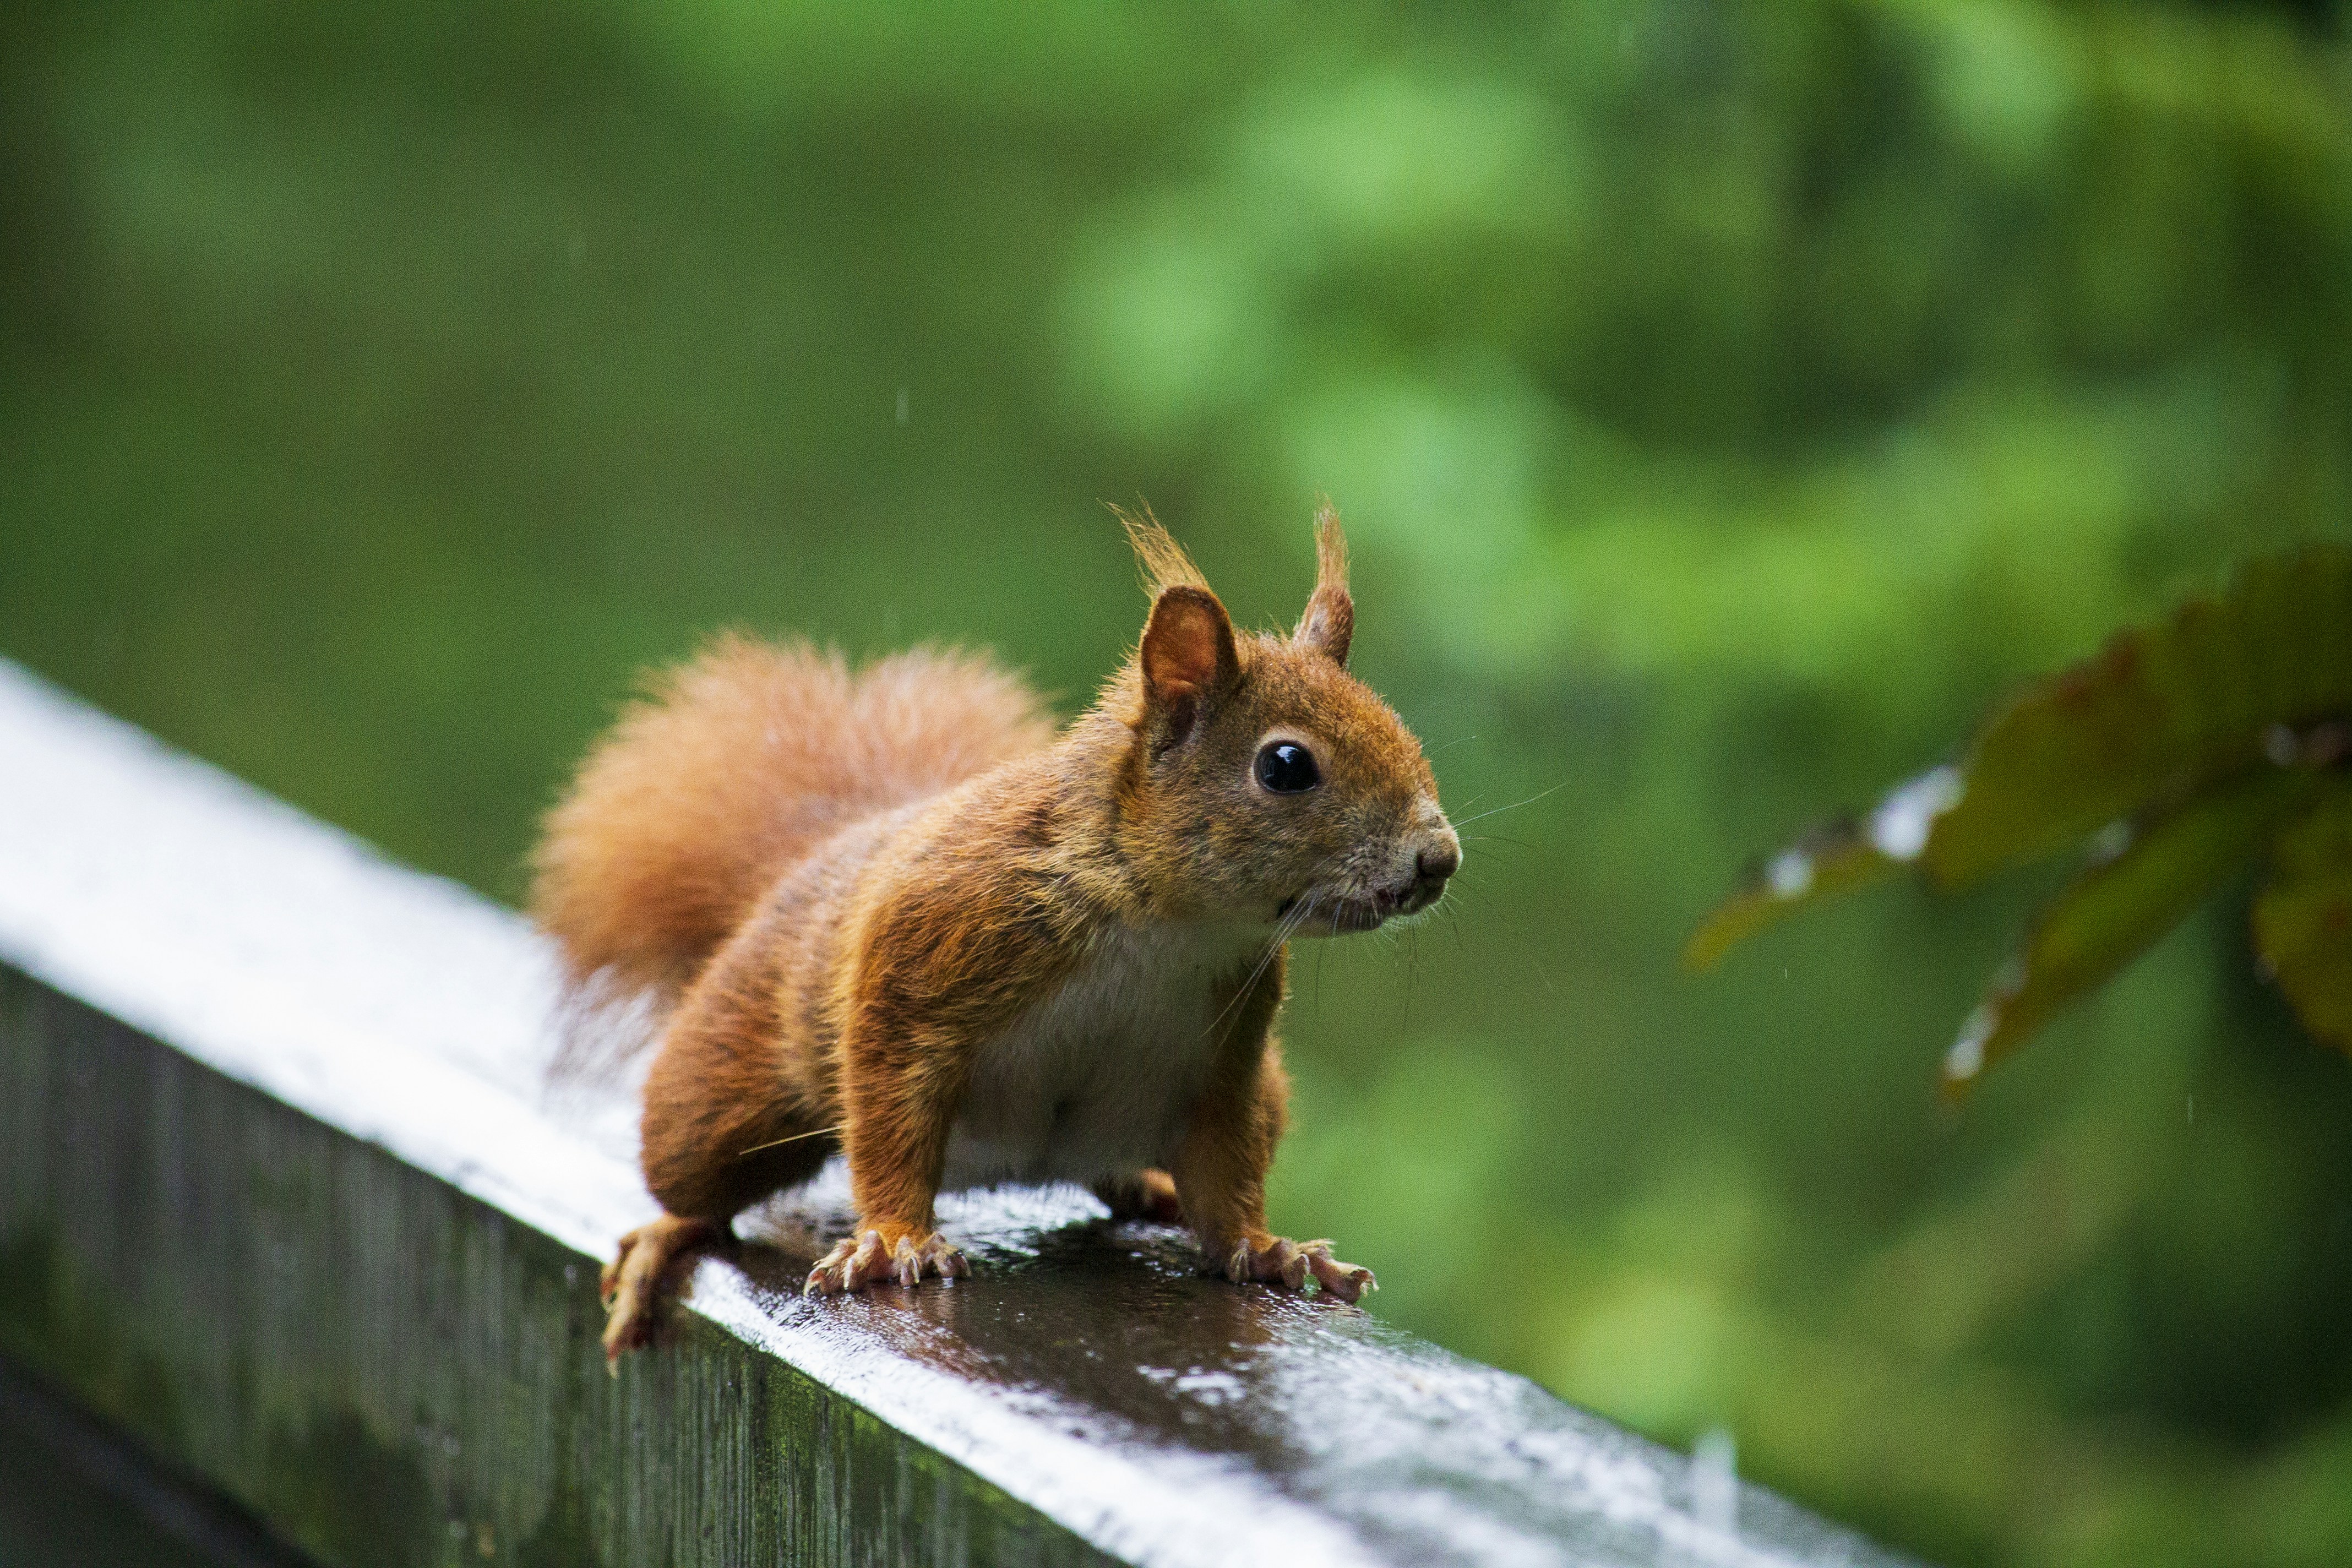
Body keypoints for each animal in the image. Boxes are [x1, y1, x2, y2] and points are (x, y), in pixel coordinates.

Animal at [531, 508, 1460, 1360]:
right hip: (725, 1081)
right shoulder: (926, 959)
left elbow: (1227, 1168)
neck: (1171, 927)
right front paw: (895, 1240)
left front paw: (1266, 1249)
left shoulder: (1229, 1052)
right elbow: (890, 1113)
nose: (1439, 859)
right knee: (693, 1174)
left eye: (1400, 727)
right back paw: (665, 1239)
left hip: (1252, 1094)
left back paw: (1153, 1187)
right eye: (1286, 766)